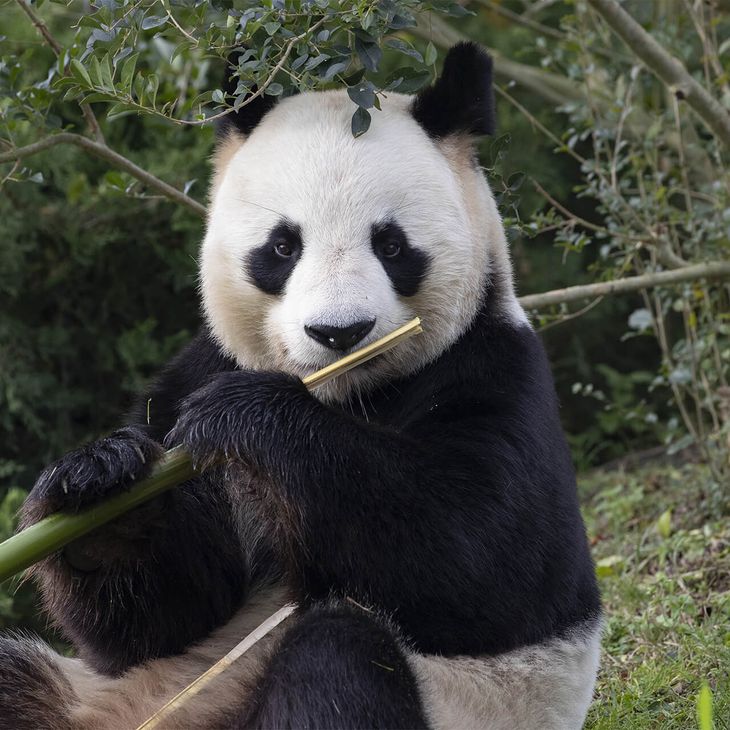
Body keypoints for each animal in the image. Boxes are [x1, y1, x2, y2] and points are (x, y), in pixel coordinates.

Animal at [0, 43, 601, 730]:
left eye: (392, 245)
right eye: (283, 246)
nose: (340, 333)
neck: (340, 392)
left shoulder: (493, 370)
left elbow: (487, 561)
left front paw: (250, 416)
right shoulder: (193, 375)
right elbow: (158, 620)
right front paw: (98, 478)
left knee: (338, 658)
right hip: (99, 697)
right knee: (19, 676)